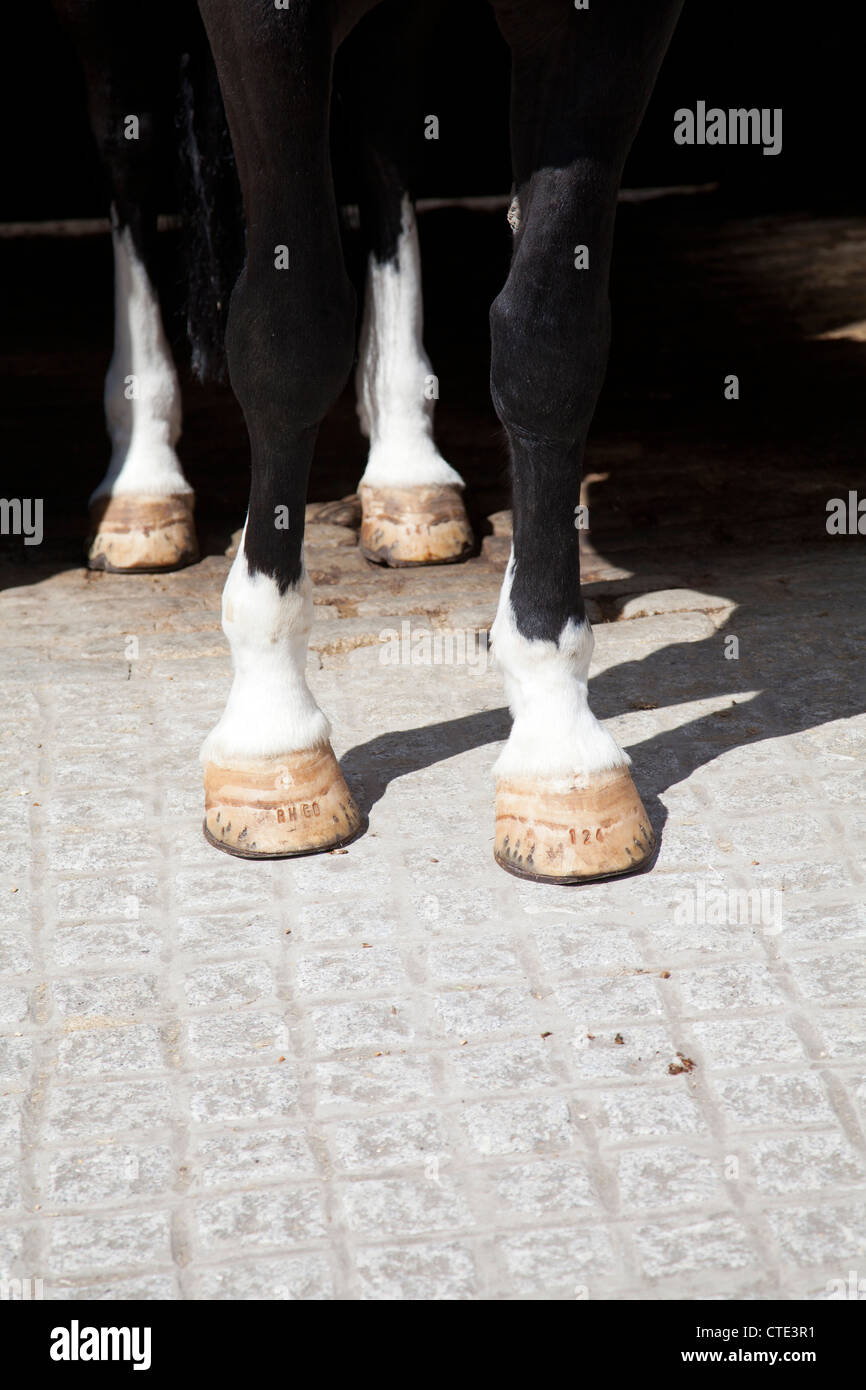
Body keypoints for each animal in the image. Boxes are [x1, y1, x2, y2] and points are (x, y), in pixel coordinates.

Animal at [54, 0, 683, 883]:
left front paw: (560, 750)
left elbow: (548, 341)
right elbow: (290, 332)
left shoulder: (614, 28)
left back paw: (407, 470)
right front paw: (273, 739)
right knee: (126, 149)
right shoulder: (263, 22)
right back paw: (141, 481)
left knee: (384, 133)